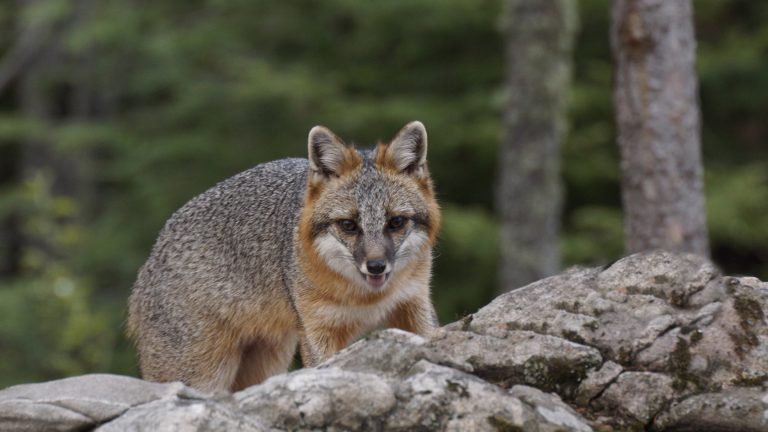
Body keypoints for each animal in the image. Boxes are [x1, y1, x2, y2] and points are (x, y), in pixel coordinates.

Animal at [127, 121, 441, 392]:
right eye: (348, 225)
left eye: (396, 222)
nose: (376, 266)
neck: (368, 300)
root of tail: (150, 260)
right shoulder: (317, 331)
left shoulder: (415, 304)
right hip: (201, 373)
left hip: (268, 361)